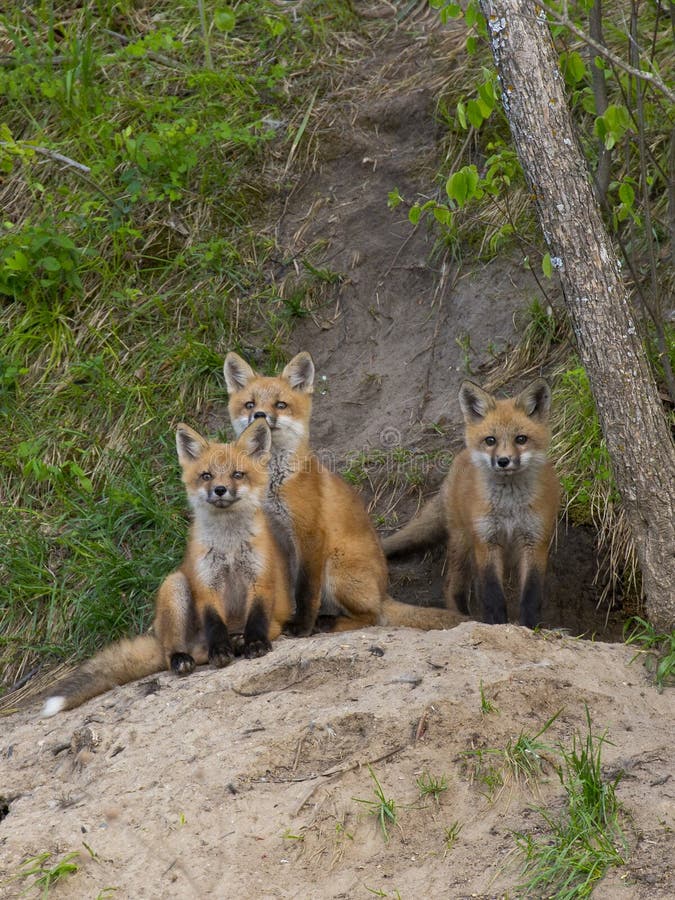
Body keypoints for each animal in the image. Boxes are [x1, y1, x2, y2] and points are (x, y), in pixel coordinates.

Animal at [42, 419, 291, 716]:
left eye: (237, 474)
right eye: (206, 476)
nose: (220, 490)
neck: (229, 546)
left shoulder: (260, 578)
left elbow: (256, 619)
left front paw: (255, 644)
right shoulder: (205, 583)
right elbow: (214, 624)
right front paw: (221, 651)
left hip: (274, 622)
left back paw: (240, 642)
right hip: (175, 586)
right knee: (179, 651)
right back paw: (186, 657)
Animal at [223, 351, 467, 634]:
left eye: (280, 405)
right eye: (250, 404)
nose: (260, 415)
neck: (275, 484)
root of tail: (384, 593)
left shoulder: (309, 535)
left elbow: (306, 592)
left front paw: (301, 627)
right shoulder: (277, 538)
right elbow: (283, 588)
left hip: (336, 566)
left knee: (371, 617)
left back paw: (328, 622)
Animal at [382, 378, 560, 628]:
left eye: (521, 439)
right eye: (490, 440)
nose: (503, 461)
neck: (509, 507)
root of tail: (460, 458)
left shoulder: (535, 540)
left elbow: (531, 594)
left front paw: (529, 626)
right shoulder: (486, 540)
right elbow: (493, 593)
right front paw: (496, 624)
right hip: (463, 542)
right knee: (453, 586)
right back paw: (463, 617)